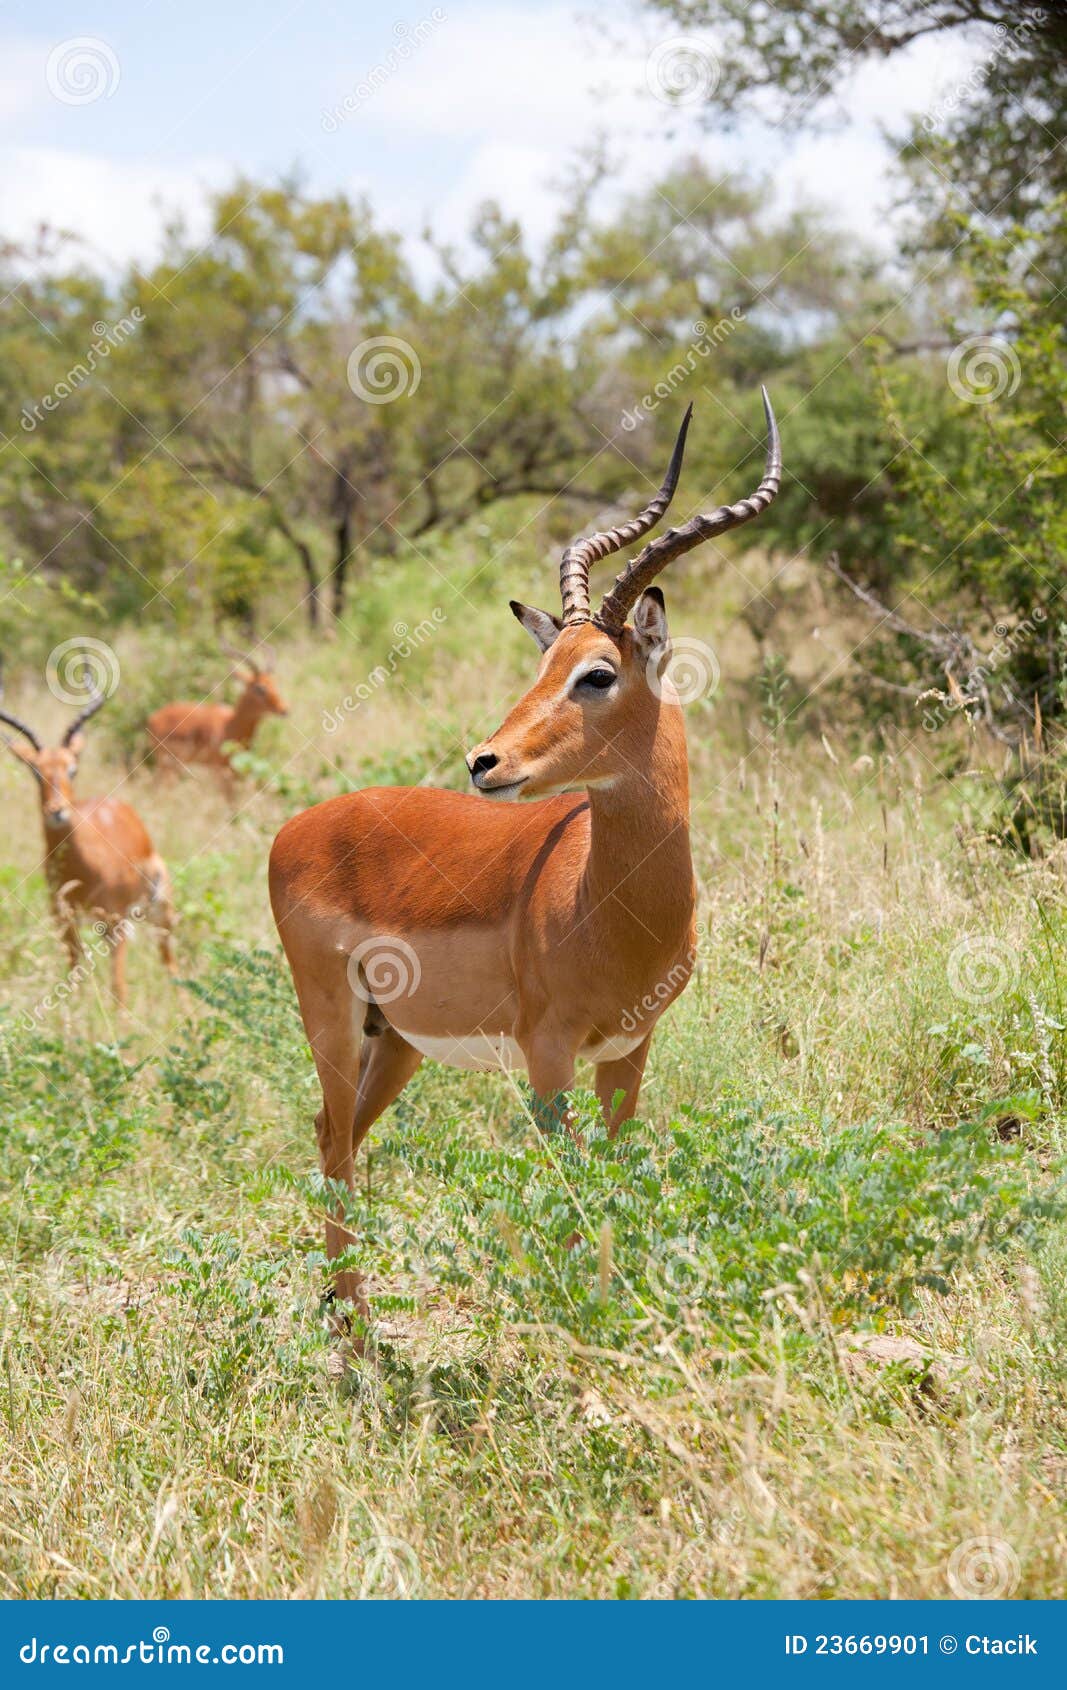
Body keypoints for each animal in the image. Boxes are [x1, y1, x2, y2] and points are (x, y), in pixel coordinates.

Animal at [0, 687, 177, 1008]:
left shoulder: (117, 921)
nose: (56, 811)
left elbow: (119, 987)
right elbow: (74, 980)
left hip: (159, 909)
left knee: (170, 964)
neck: (81, 866)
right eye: (35, 771)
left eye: (73, 769)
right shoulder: (64, 922)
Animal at [147, 644, 288, 779]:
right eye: (259, 688)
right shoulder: (218, 771)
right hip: (167, 765)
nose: (284, 709)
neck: (230, 725)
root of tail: (154, 717)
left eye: (275, 684)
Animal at [269, 391, 781, 1321]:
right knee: (333, 1136)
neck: (608, 901)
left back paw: (343, 1306)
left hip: (394, 1040)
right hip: (330, 1016)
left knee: (339, 1132)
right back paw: (354, 1321)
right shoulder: (548, 1056)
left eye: (596, 673)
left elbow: (616, 1174)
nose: (485, 761)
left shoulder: (627, 1050)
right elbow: (570, 1182)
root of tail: (299, 826)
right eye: (547, 662)